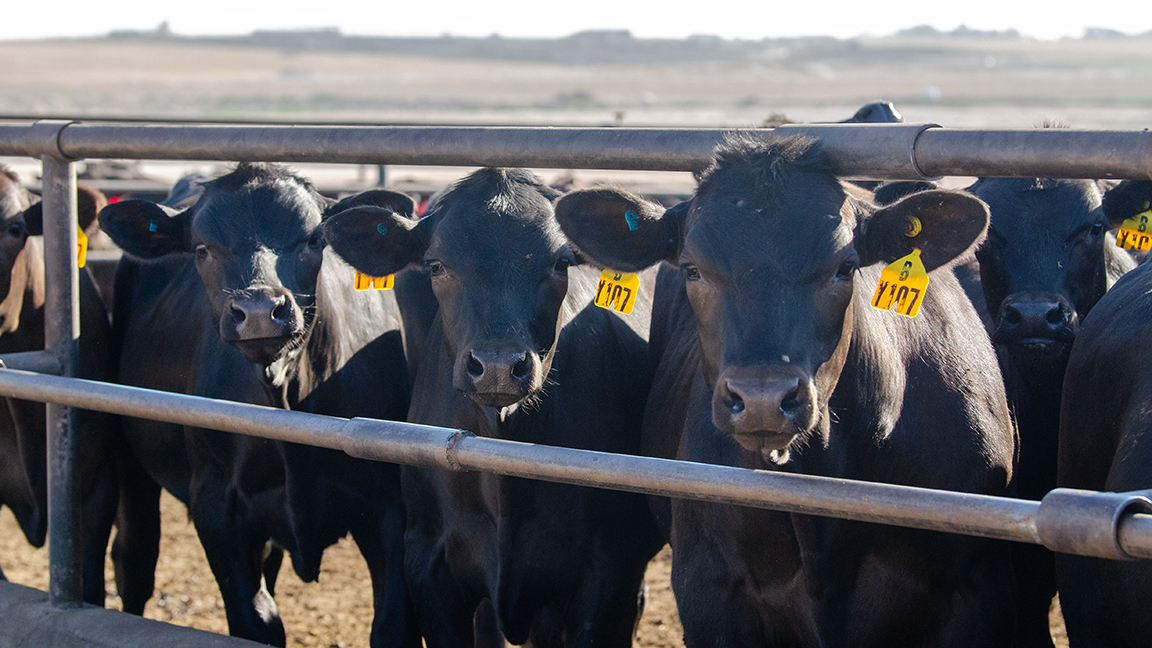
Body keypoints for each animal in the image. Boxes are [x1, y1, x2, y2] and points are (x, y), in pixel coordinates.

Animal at [98, 163, 418, 647]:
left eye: (313, 240)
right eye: (201, 249)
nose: (260, 310)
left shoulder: (387, 504)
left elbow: (392, 624)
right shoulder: (216, 507)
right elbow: (255, 620)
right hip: (131, 457)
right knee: (134, 561)